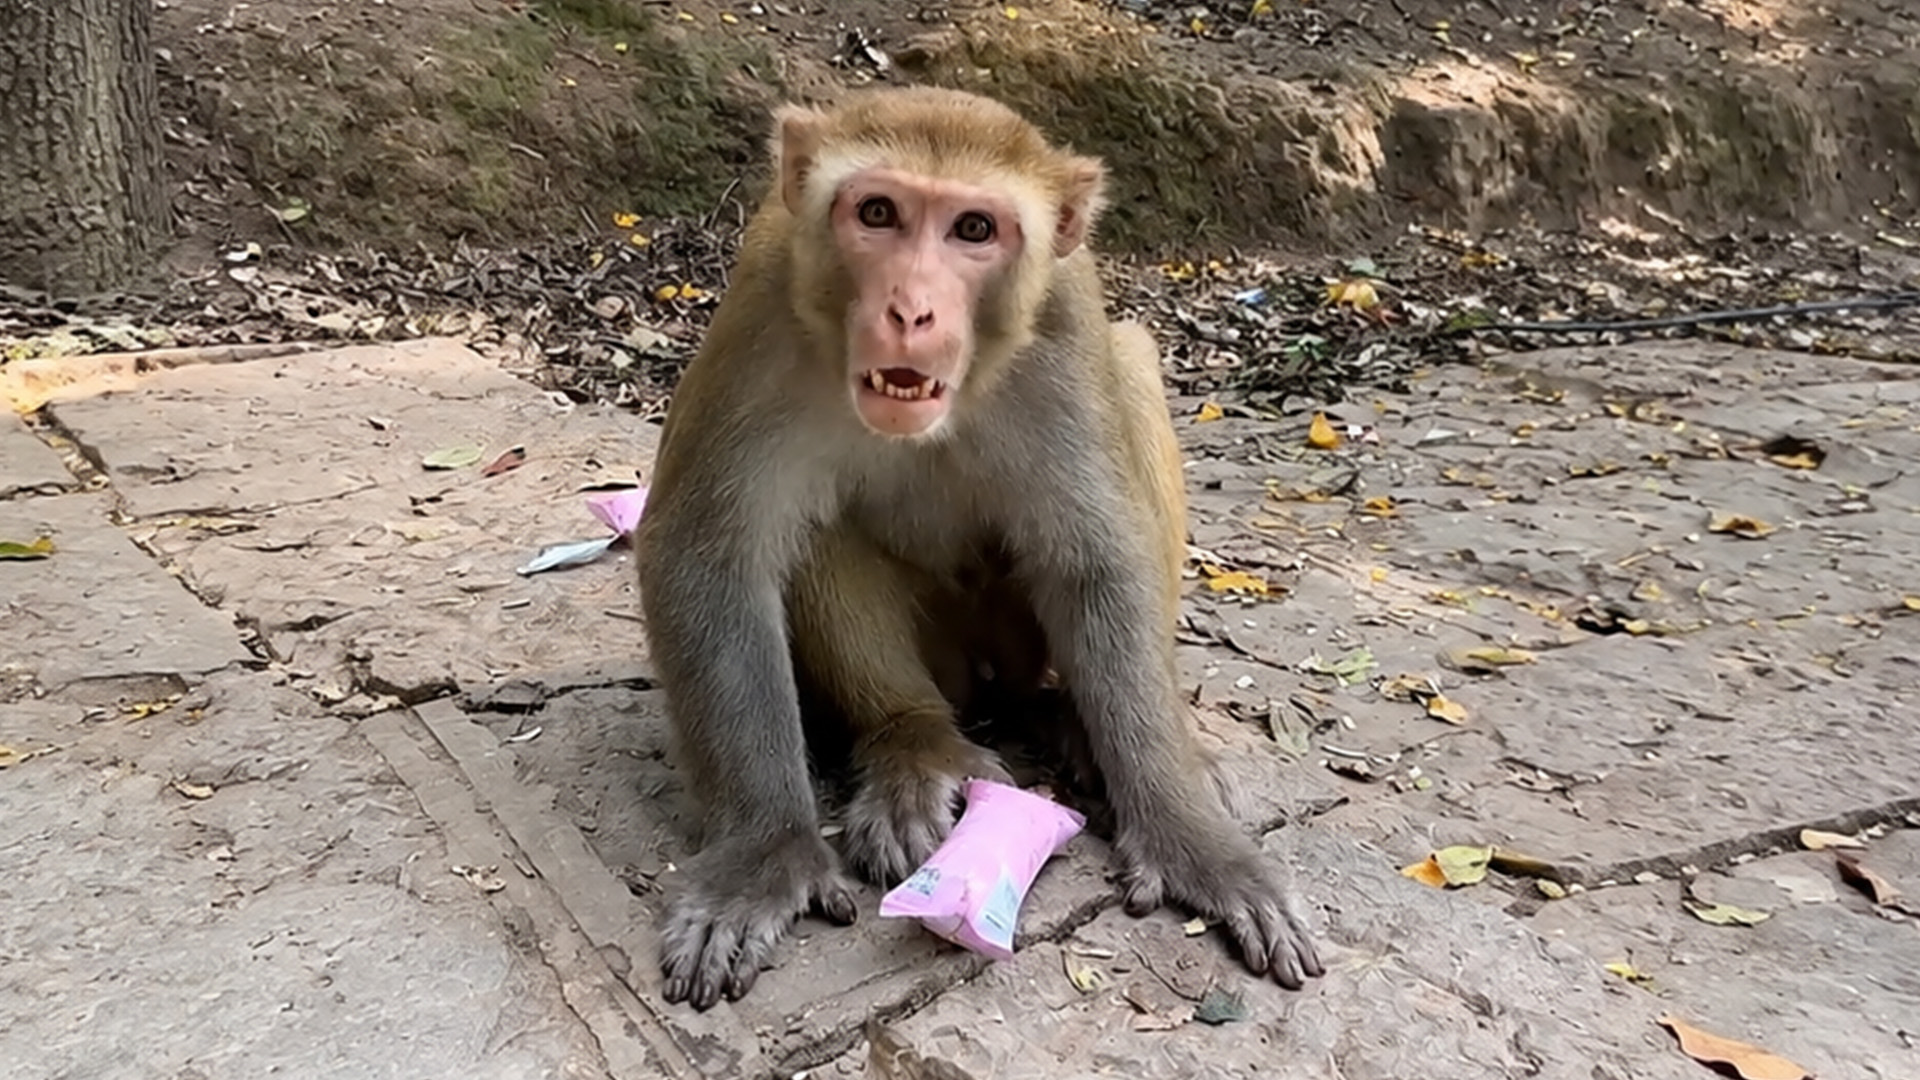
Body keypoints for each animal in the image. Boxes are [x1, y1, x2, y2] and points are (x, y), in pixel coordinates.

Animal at [633, 86, 1323, 1012]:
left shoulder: (1063, 325)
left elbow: (1098, 563)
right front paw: (763, 853)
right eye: (878, 213)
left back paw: (1066, 717)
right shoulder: (762, 310)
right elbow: (710, 554)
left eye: (973, 229)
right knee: (823, 534)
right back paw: (915, 746)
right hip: (950, 659)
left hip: (1017, 636)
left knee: (1134, 359)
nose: (910, 309)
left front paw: (1189, 835)